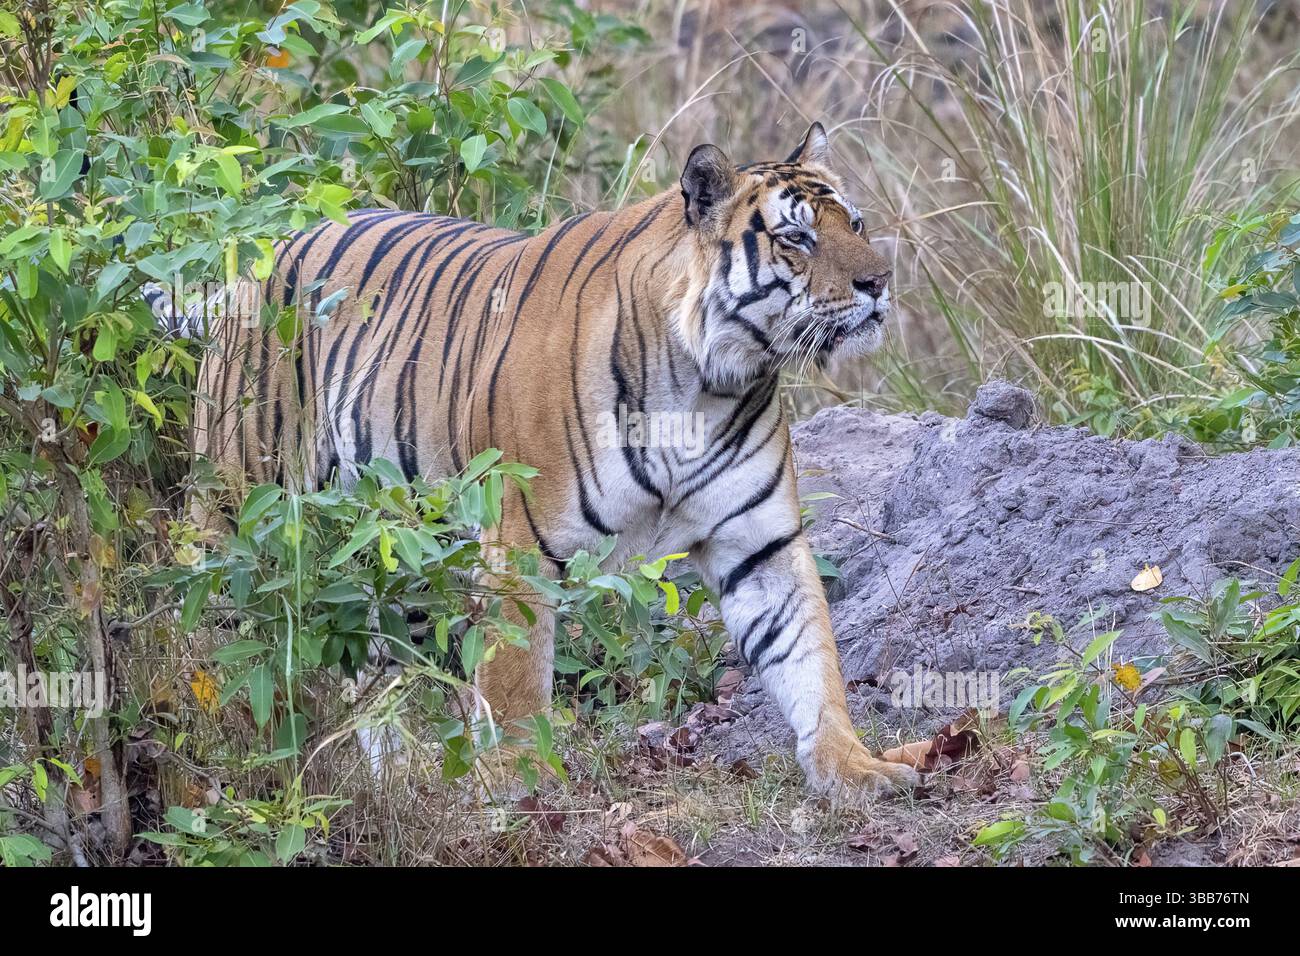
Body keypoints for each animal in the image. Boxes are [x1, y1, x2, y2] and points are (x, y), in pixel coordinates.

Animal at [146, 122, 921, 795]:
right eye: (795, 237)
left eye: (854, 225)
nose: (880, 282)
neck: (708, 384)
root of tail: (256, 260)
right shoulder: (519, 541)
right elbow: (517, 680)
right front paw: (518, 786)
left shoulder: (760, 543)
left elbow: (809, 658)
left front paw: (854, 769)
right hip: (237, 521)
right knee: (205, 639)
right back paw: (207, 754)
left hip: (400, 553)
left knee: (376, 667)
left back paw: (399, 774)